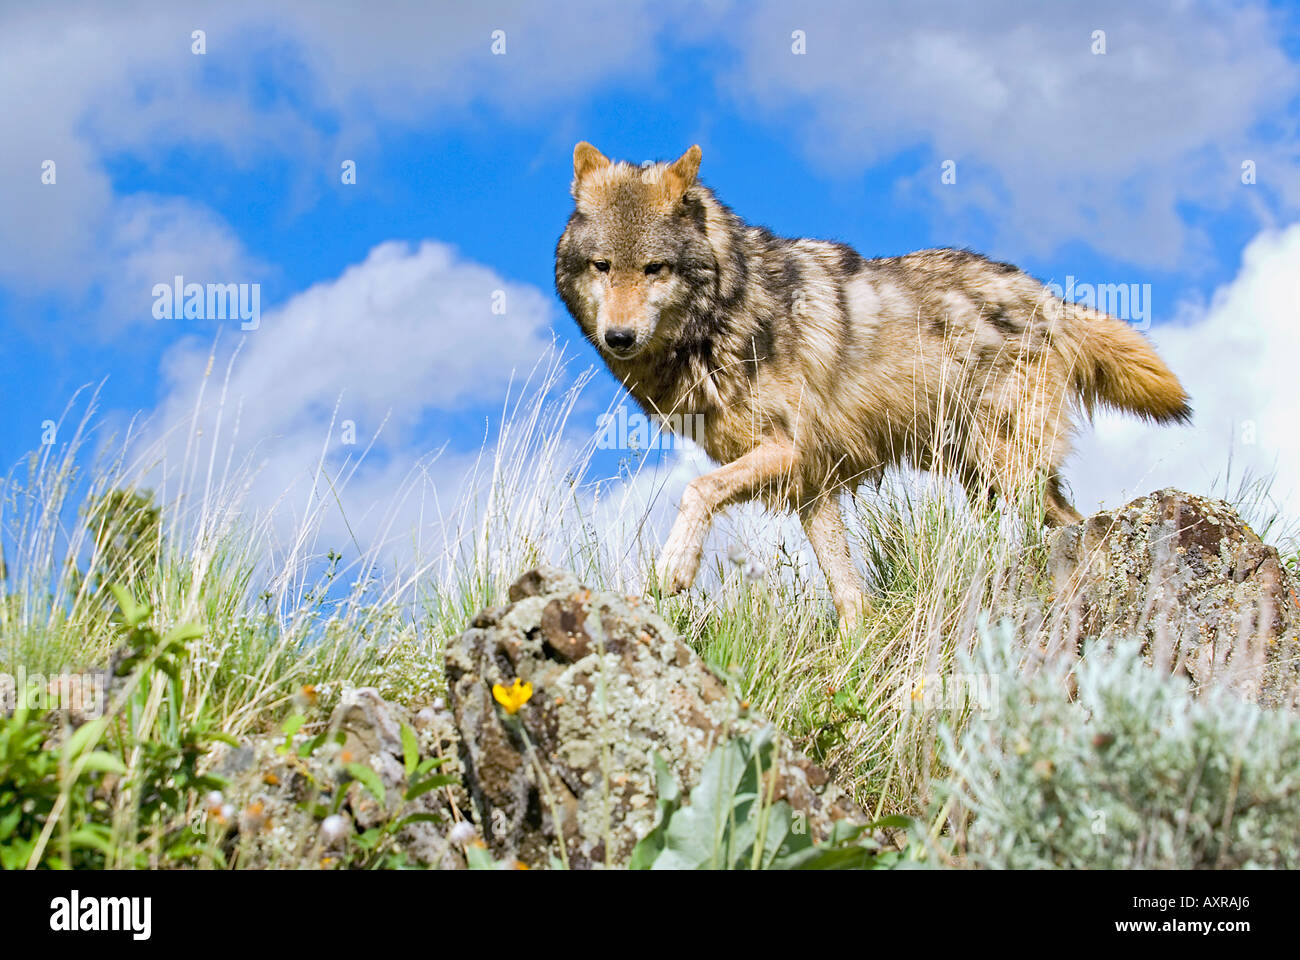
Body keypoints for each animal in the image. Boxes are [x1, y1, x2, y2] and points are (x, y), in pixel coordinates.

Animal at [554, 142, 1191, 626]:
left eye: (654, 269)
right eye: (603, 266)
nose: (619, 337)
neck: (727, 312)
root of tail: (1046, 297)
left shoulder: (789, 451)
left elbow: (697, 490)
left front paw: (675, 567)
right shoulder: (809, 482)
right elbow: (847, 589)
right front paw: (855, 648)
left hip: (1008, 472)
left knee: (1080, 524)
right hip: (986, 475)